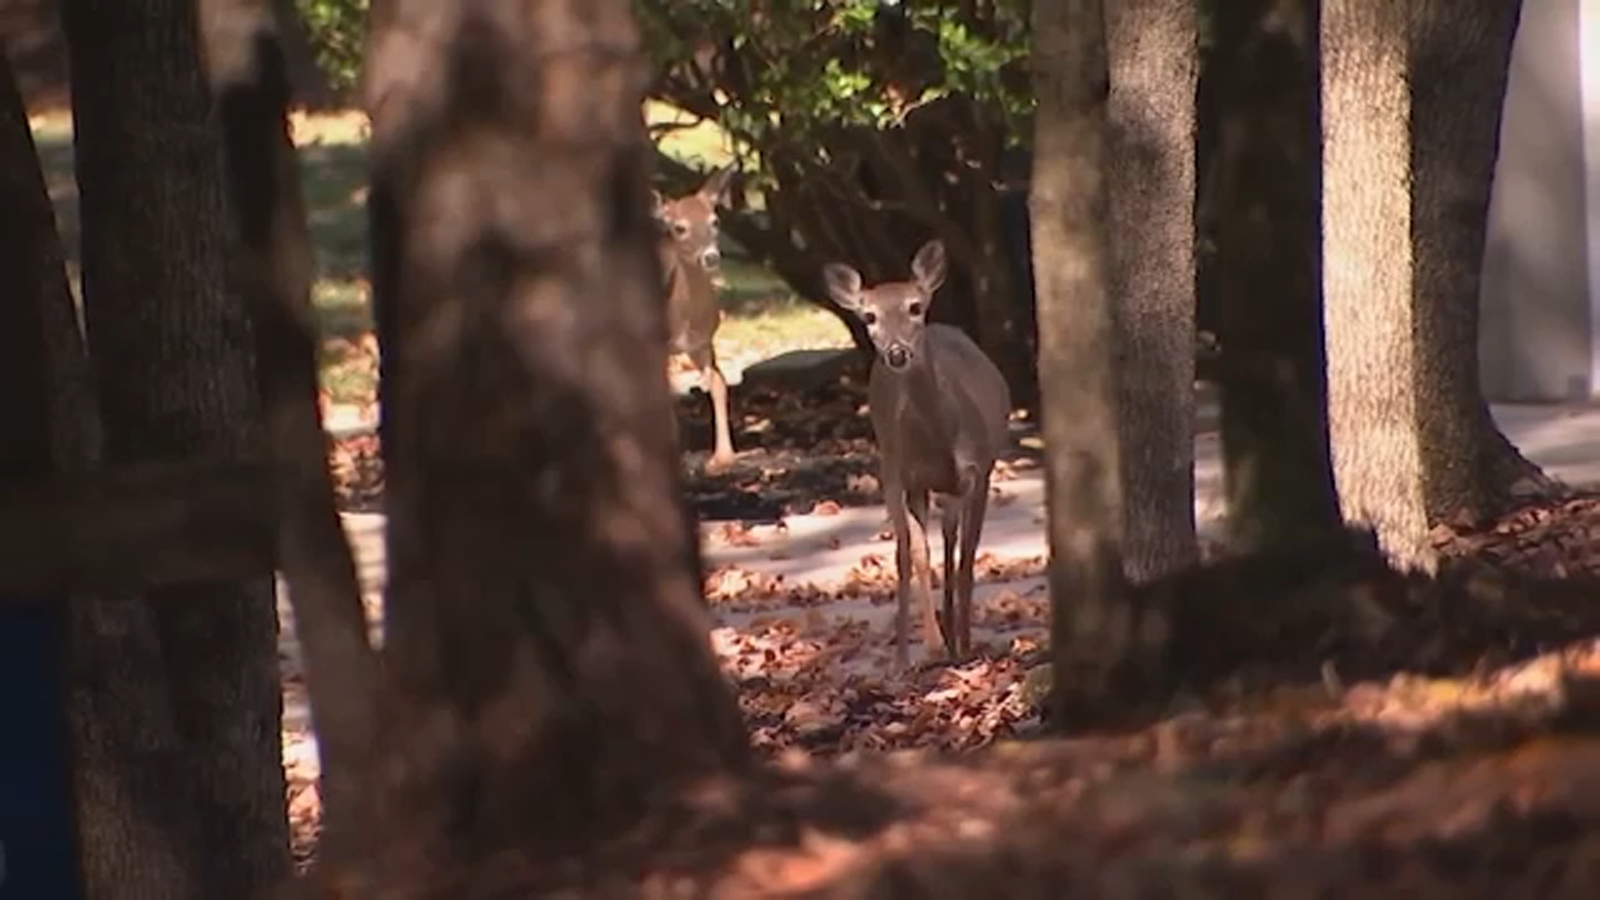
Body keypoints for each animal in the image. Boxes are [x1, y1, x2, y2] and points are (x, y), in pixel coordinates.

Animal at [655, 165, 738, 471]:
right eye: (679, 228)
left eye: (715, 220)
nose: (710, 257)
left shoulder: (704, 340)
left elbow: (718, 383)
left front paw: (722, 457)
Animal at [823, 240, 1012, 669]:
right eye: (869, 315)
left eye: (914, 306)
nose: (897, 353)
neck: (940, 440)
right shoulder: (901, 476)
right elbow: (915, 555)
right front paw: (925, 649)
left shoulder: (979, 470)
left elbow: (967, 557)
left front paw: (964, 643)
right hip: (900, 472)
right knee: (917, 548)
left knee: (951, 542)